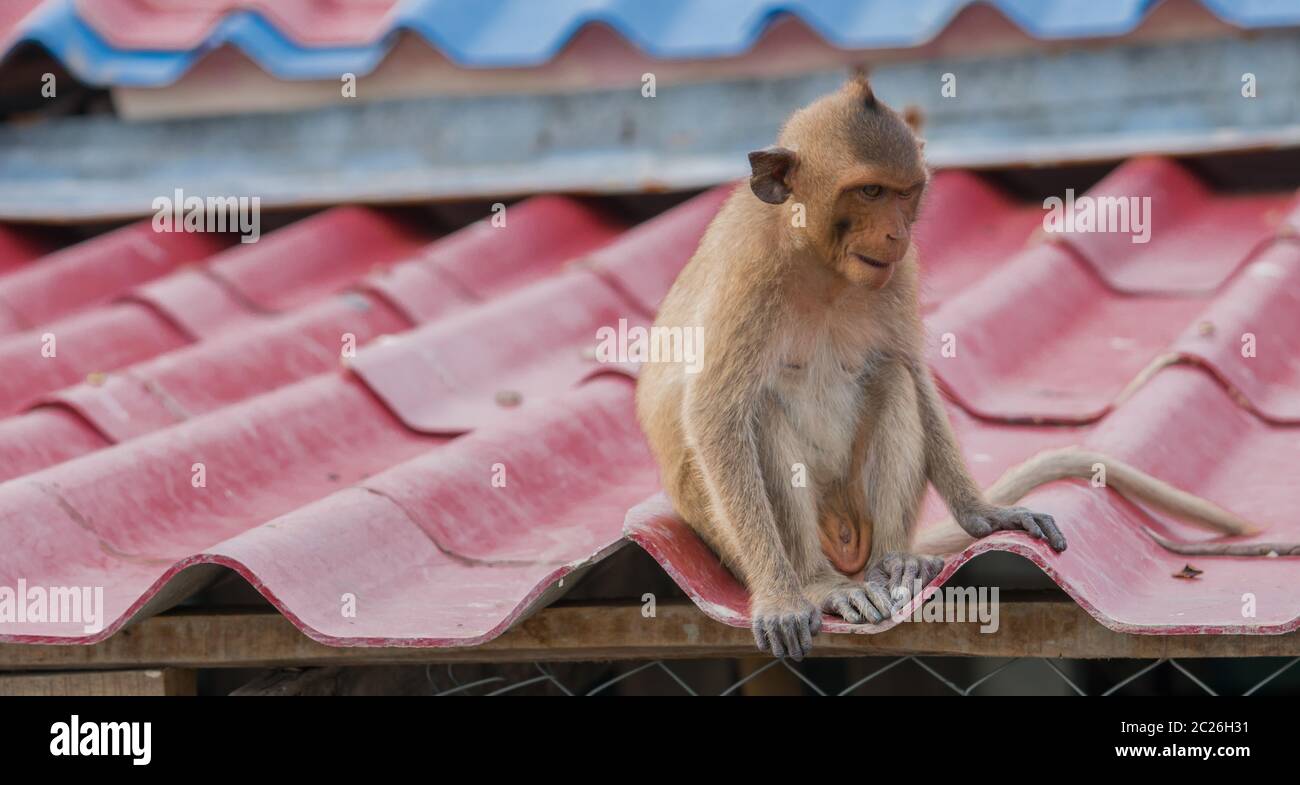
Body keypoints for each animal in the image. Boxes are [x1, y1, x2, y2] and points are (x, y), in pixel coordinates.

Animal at [634, 75, 1286, 660]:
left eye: (905, 192)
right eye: (868, 192)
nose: (896, 232)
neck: (818, 261)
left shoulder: (899, 272)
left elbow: (912, 373)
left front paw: (983, 512)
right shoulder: (749, 271)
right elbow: (716, 411)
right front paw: (779, 596)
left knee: (892, 380)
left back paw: (897, 560)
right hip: (738, 533)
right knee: (760, 413)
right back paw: (819, 584)